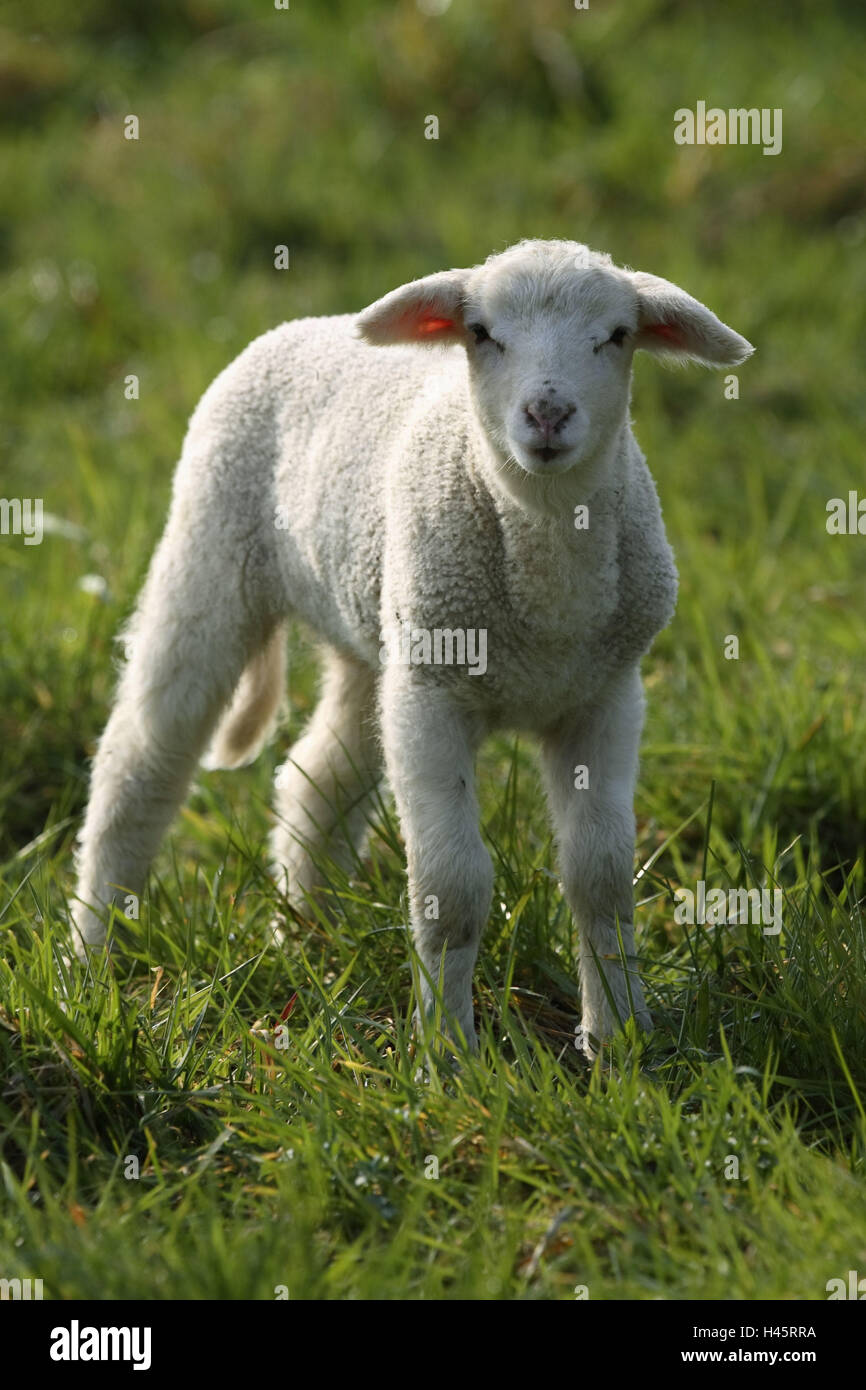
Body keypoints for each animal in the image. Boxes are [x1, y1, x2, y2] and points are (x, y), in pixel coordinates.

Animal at [71, 238, 753, 1057]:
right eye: (482, 333)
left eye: (617, 336)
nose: (547, 413)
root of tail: (308, 325)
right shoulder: (434, 696)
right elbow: (451, 889)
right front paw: (449, 1057)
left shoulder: (605, 695)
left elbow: (602, 877)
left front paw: (618, 1041)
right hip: (208, 553)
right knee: (138, 764)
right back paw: (94, 956)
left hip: (373, 640)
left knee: (315, 779)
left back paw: (307, 939)